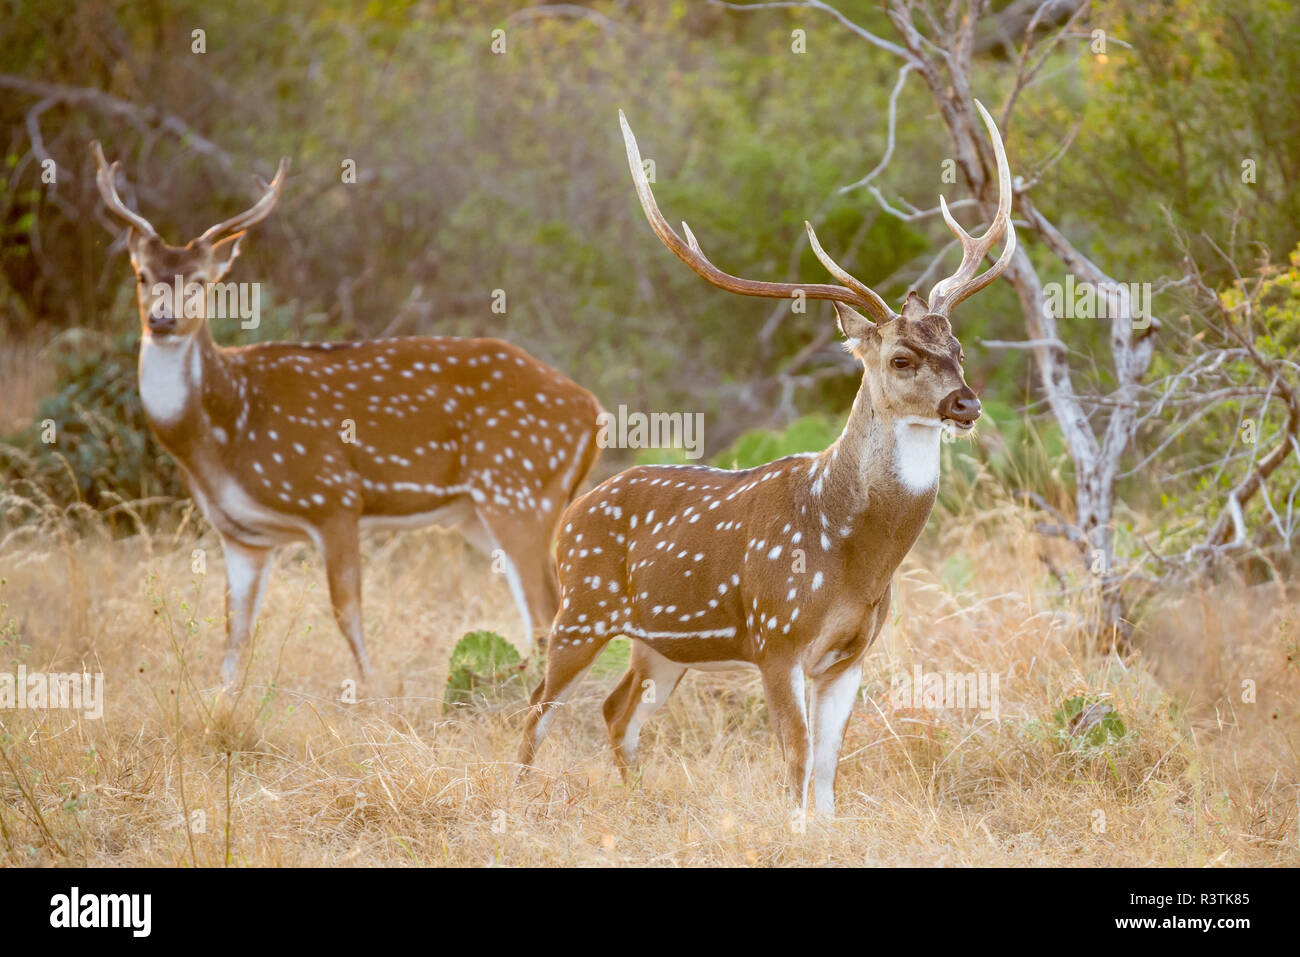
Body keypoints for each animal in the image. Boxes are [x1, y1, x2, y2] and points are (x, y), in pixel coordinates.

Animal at [90, 142, 603, 685]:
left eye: (202, 282)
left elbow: (347, 612)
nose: (162, 321)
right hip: (481, 513)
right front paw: (221, 696)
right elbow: (235, 634)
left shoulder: (333, 496)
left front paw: (371, 688)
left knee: (548, 613)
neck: (225, 436)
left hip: (519, 491)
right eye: (142, 275)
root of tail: (593, 412)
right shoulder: (241, 534)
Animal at [517, 102, 1015, 817]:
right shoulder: (777, 636)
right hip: (581, 607)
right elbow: (796, 758)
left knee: (616, 711)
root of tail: (570, 514)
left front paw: (825, 828)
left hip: (661, 646)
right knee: (535, 709)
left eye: (959, 351)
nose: (965, 403)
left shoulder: (850, 654)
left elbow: (830, 767)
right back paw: (515, 797)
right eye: (901, 359)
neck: (853, 556)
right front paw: (794, 828)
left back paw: (637, 803)